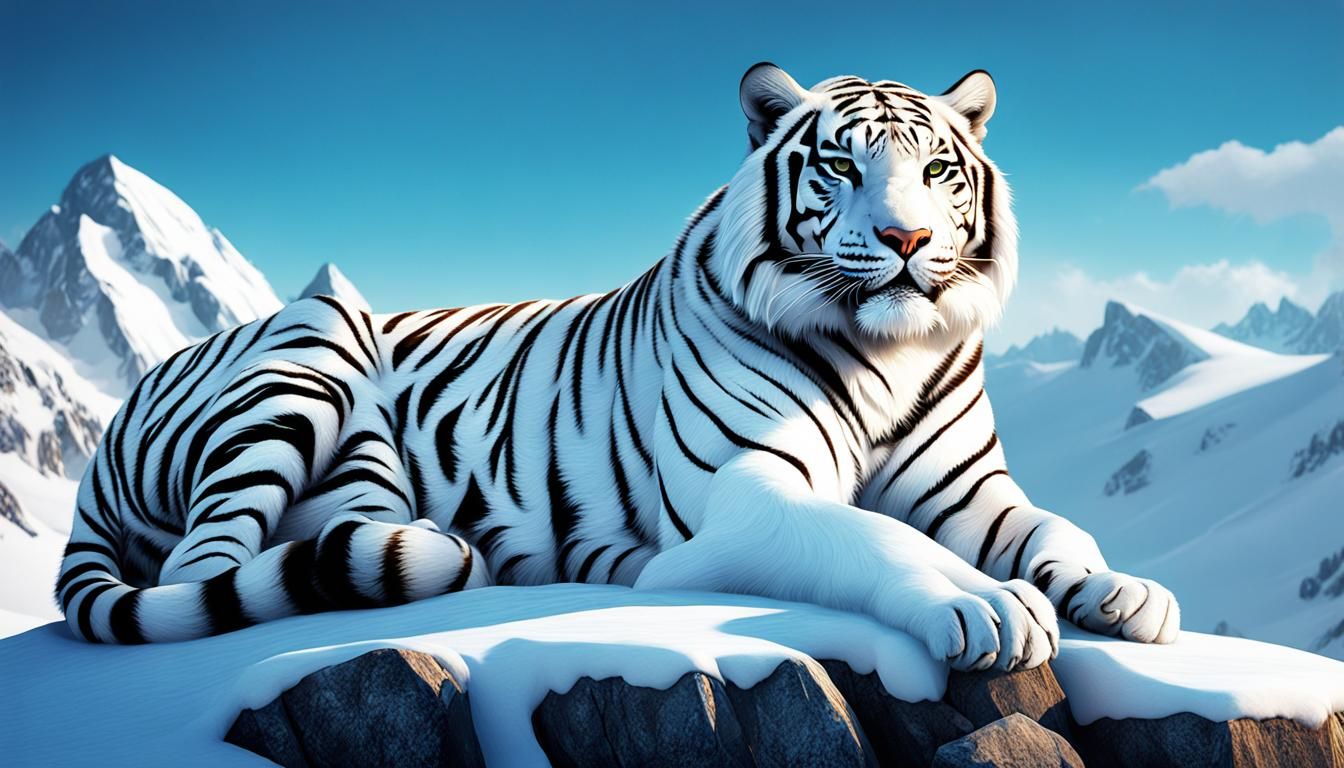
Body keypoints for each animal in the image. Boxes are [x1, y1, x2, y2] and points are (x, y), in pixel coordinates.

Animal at [56, 63, 1179, 671]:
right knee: (198, 574)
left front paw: (1122, 592)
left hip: (367, 479)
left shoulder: (970, 489)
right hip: (312, 335)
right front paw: (984, 607)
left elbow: (1054, 529)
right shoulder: (746, 495)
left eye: (939, 169)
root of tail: (109, 435)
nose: (908, 240)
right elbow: (870, 537)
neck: (888, 354)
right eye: (840, 165)